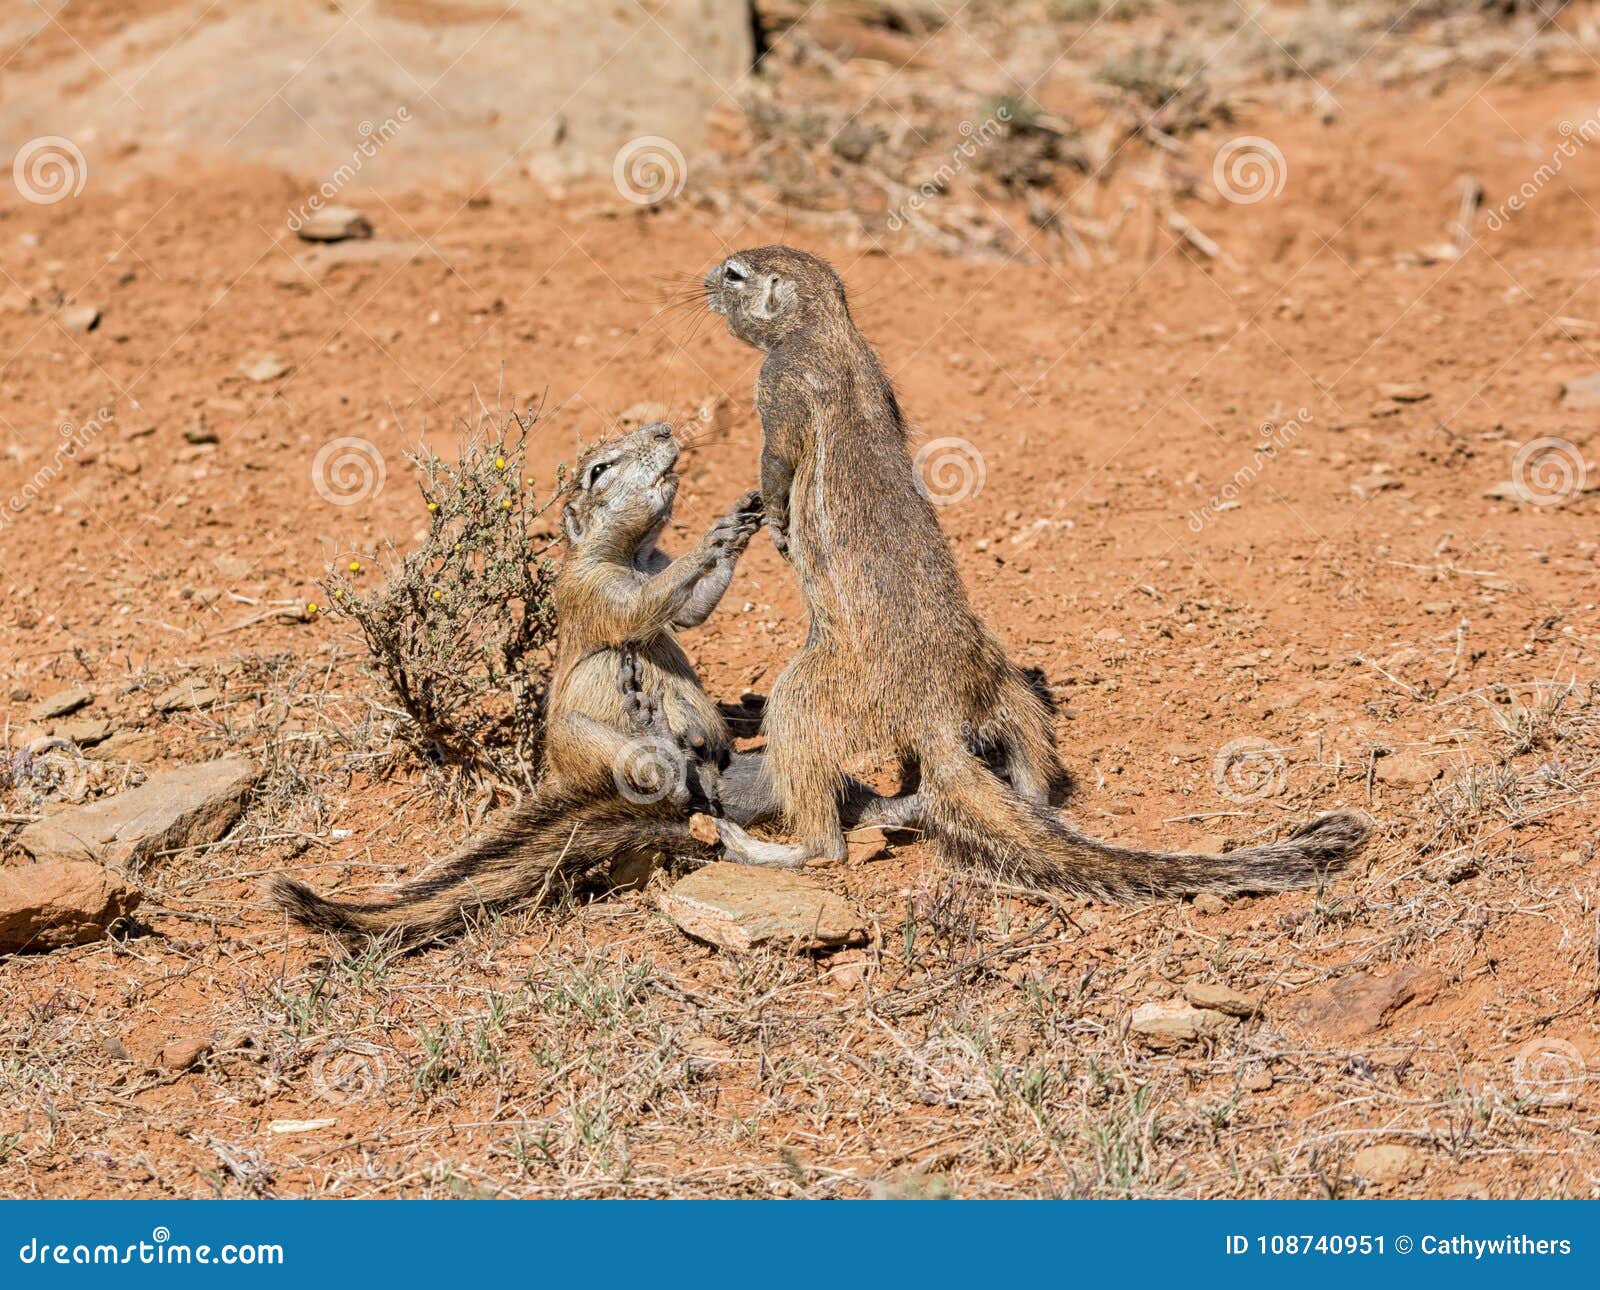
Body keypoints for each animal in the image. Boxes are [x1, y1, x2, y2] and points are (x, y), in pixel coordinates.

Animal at [703, 245, 1371, 896]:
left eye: (735, 273)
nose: (706, 279)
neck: (828, 330)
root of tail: (936, 716)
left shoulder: (778, 386)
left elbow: (777, 463)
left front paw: (777, 527)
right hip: (1006, 682)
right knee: (1030, 754)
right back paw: (1030, 802)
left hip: (807, 694)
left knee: (826, 836)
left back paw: (770, 849)